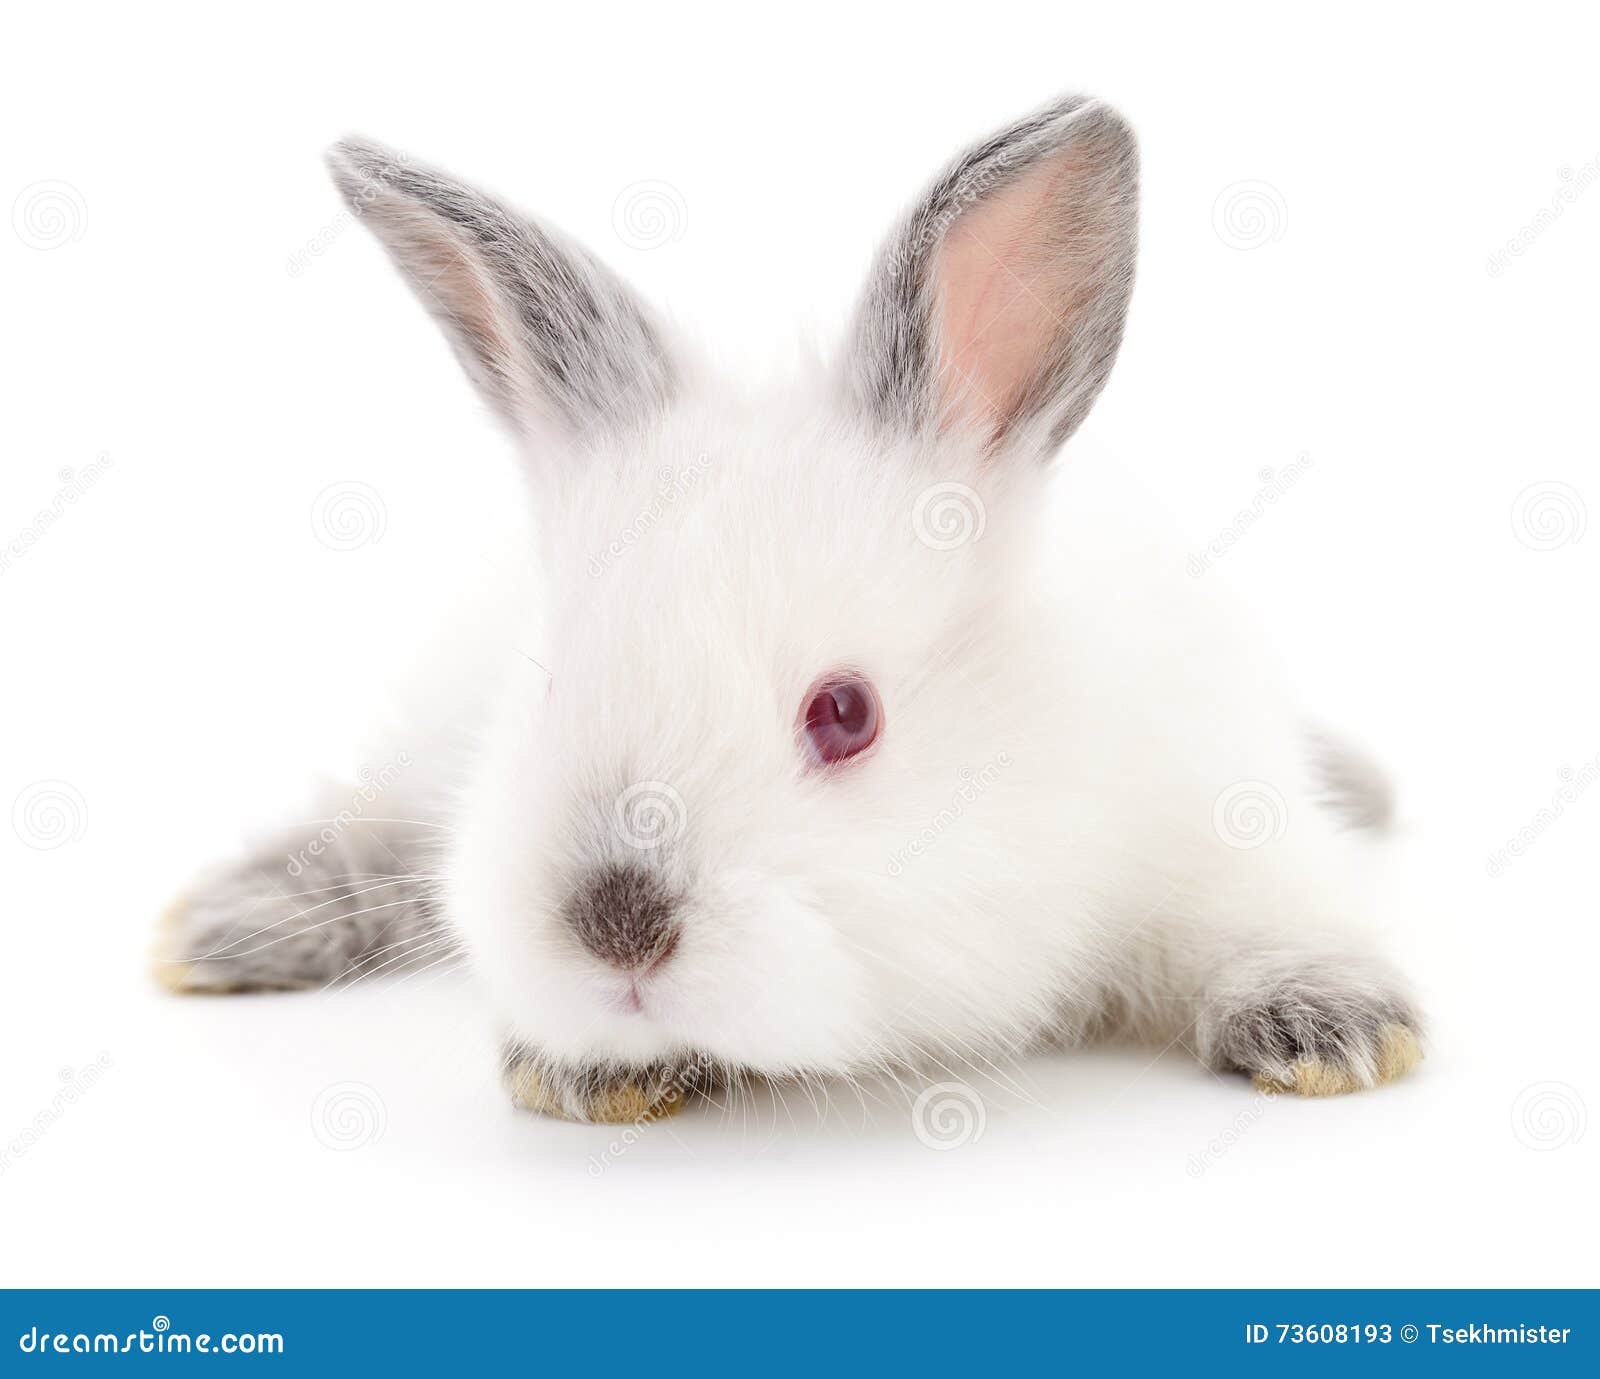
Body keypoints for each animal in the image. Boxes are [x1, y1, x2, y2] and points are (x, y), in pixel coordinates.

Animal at [156, 92, 1422, 1124]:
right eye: (546, 688)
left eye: (846, 714)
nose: (616, 929)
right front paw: (586, 1071)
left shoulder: (1223, 806)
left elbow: (1275, 916)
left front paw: (1333, 1027)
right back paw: (227, 924)